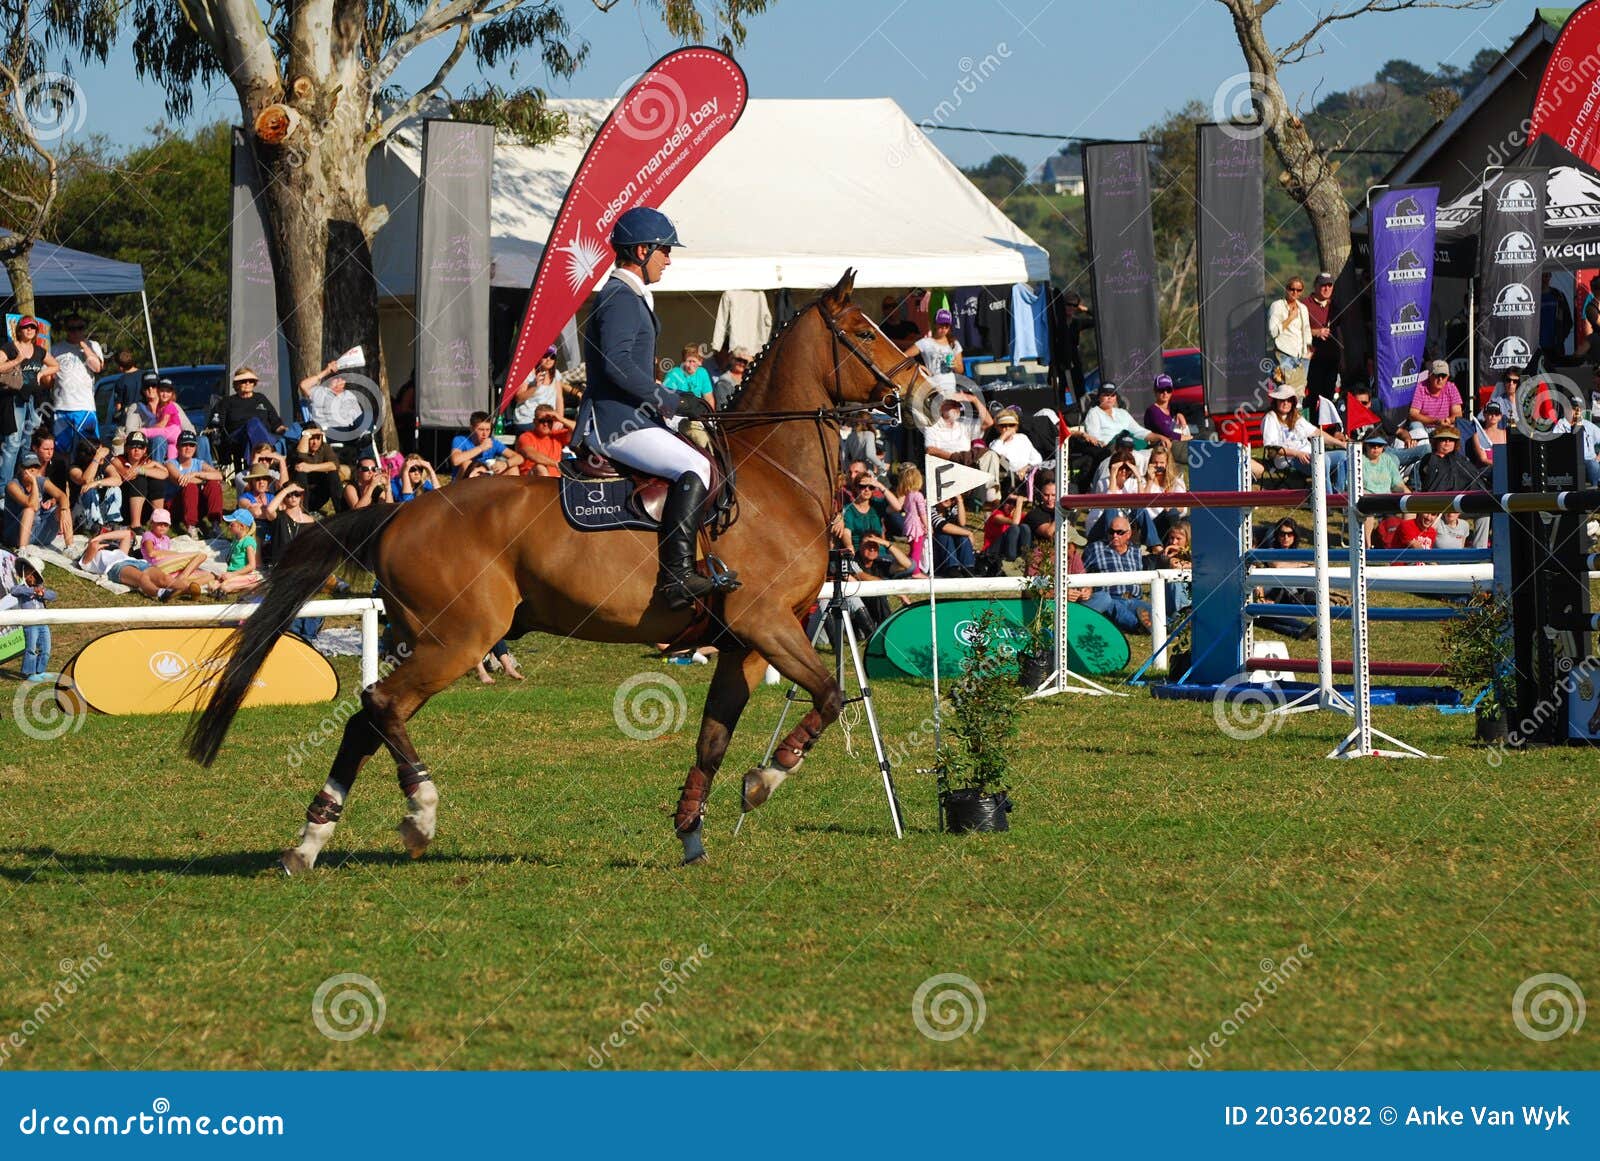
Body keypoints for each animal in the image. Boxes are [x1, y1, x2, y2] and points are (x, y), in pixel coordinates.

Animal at [187, 270, 934, 872]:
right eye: (863, 331)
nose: (925, 396)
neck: (774, 479)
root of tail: (400, 510)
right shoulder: (766, 624)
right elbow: (829, 697)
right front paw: (765, 781)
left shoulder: (743, 646)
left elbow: (712, 742)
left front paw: (692, 832)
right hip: (458, 639)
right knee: (380, 705)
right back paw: (420, 813)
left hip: (431, 639)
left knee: (365, 719)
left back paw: (309, 844)